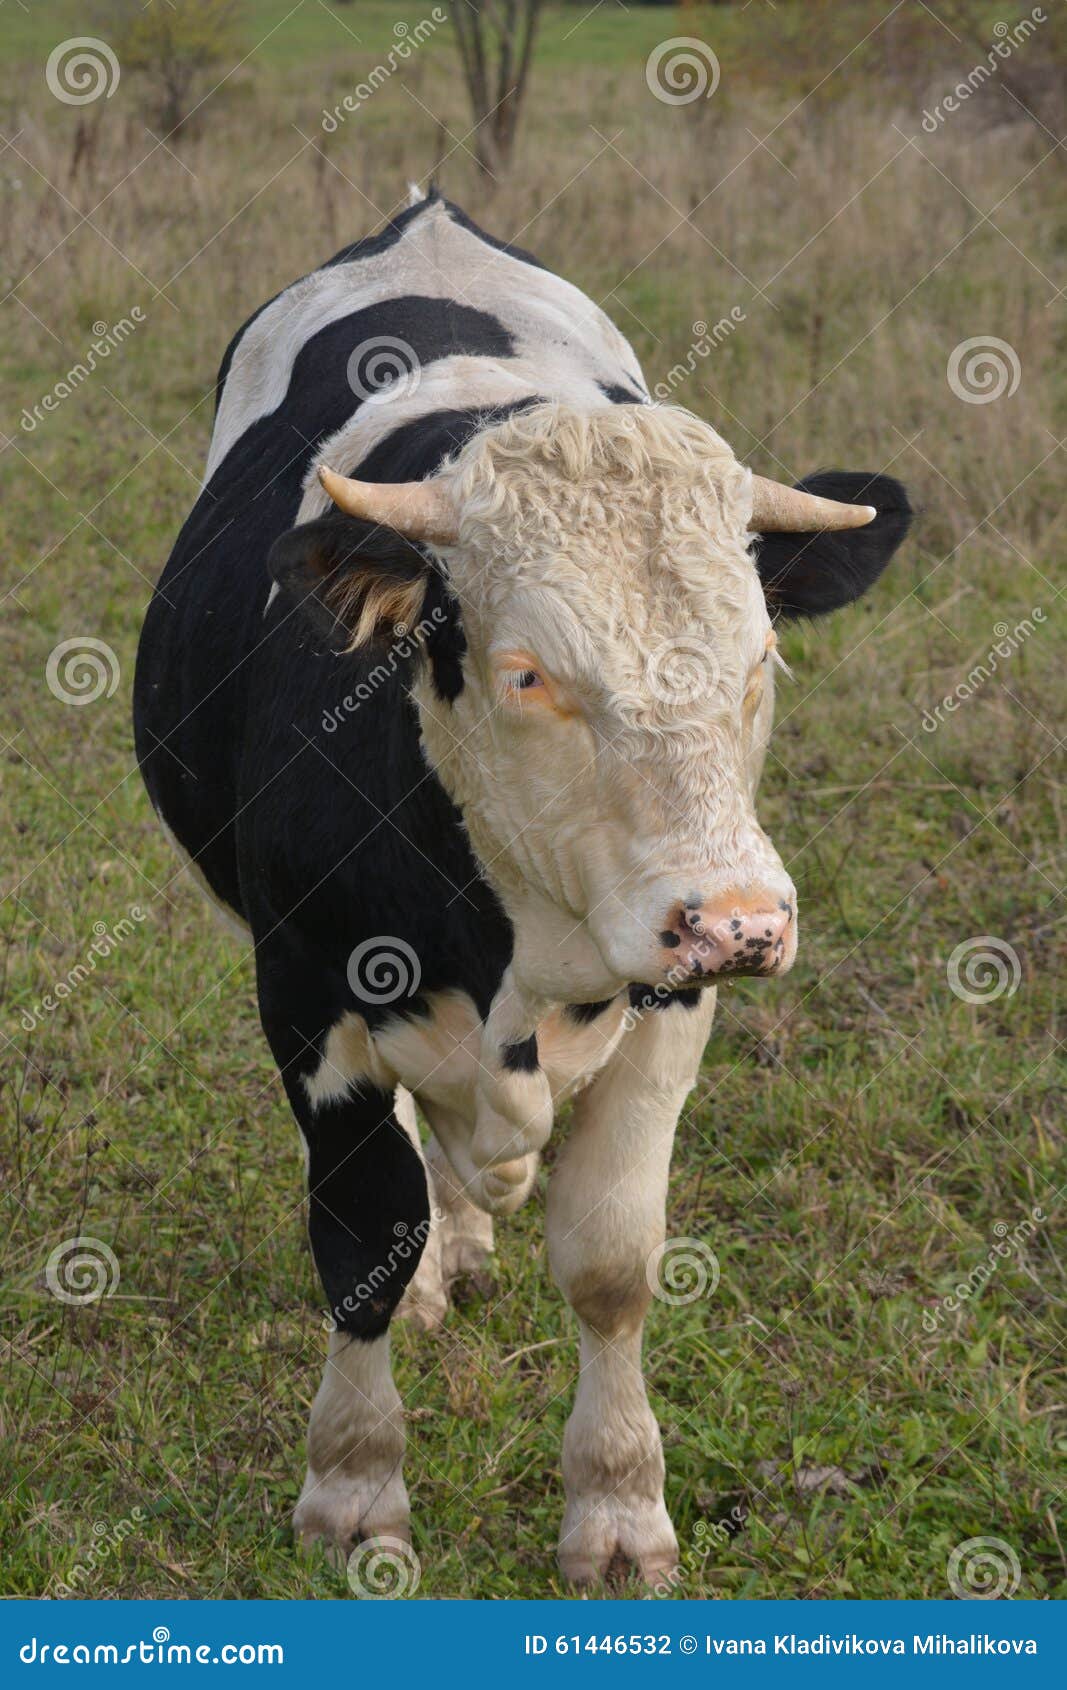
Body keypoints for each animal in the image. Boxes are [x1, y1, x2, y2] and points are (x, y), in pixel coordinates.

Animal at [133, 188, 911, 1587]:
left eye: (758, 658)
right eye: (529, 674)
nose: (738, 919)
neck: (511, 945)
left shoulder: (670, 1009)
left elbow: (609, 1263)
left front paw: (617, 1510)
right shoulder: (304, 994)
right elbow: (362, 1237)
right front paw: (354, 1487)